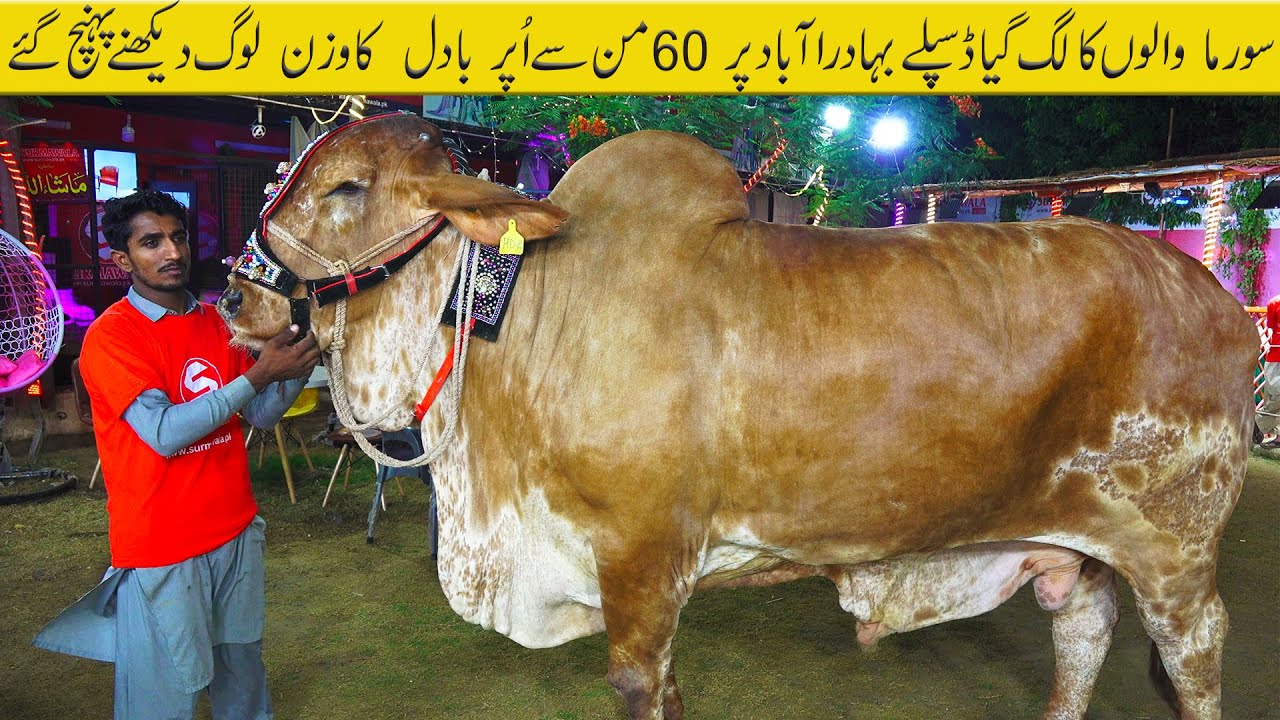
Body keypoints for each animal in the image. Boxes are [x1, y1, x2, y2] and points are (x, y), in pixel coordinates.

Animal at [219, 112, 1256, 720]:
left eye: (347, 185)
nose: (237, 293)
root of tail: (1216, 294)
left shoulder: (642, 563)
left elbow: (640, 686)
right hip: (1076, 541)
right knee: (1081, 633)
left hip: (1174, 549)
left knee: (1198, 652)